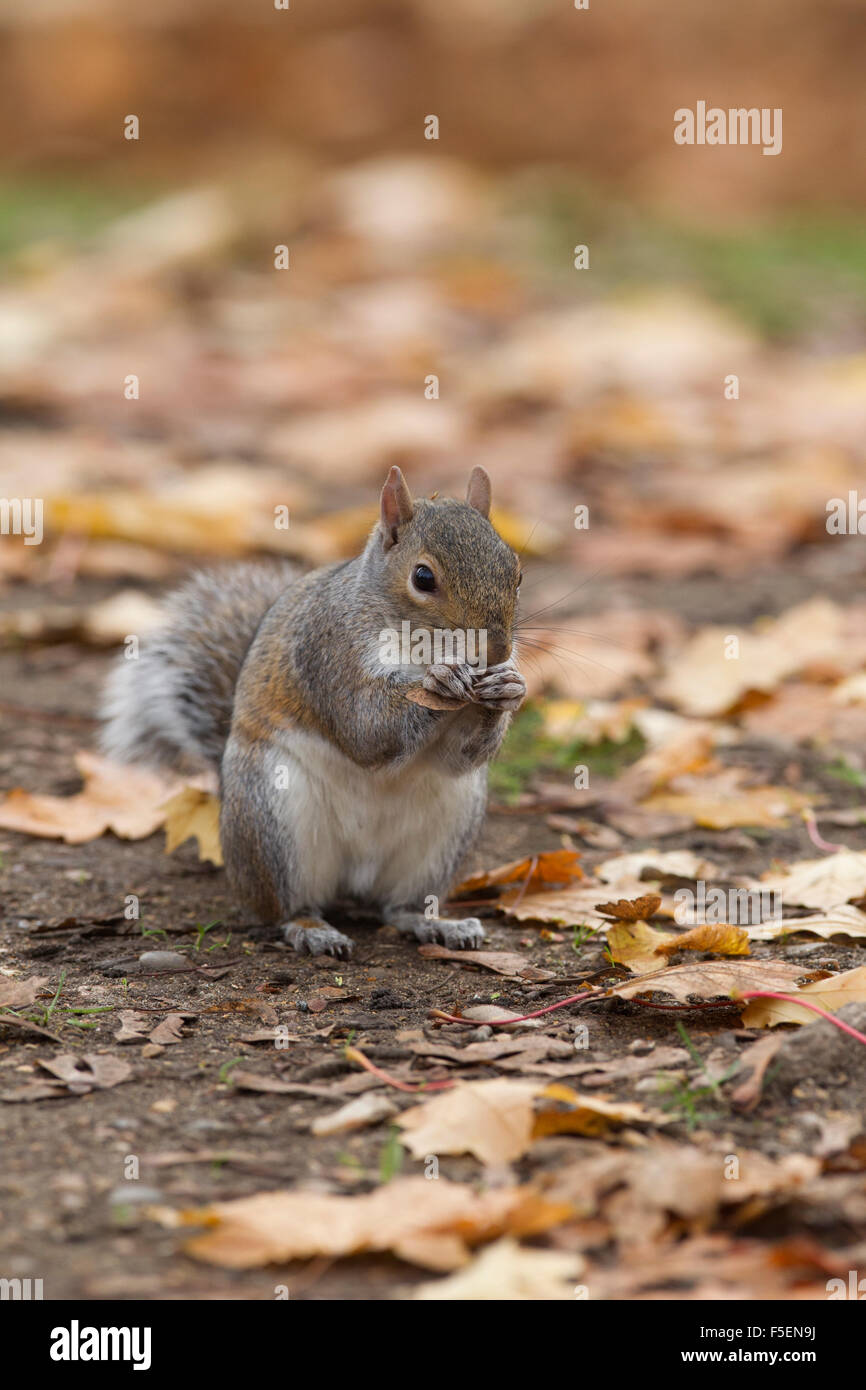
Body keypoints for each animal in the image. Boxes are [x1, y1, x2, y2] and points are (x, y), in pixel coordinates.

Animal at [102, 466, 526, 959]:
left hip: (444, 835)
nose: (496, 652)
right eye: (423, 577)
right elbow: (365, 729)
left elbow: (461, 756)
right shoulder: (327, 654)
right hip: (271, 817)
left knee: (397, 907)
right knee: (282, 907)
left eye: (517, 572)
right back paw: (310, 928)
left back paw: (437, 924)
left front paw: (509, 689)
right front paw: (439, 680)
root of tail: (356, 876)